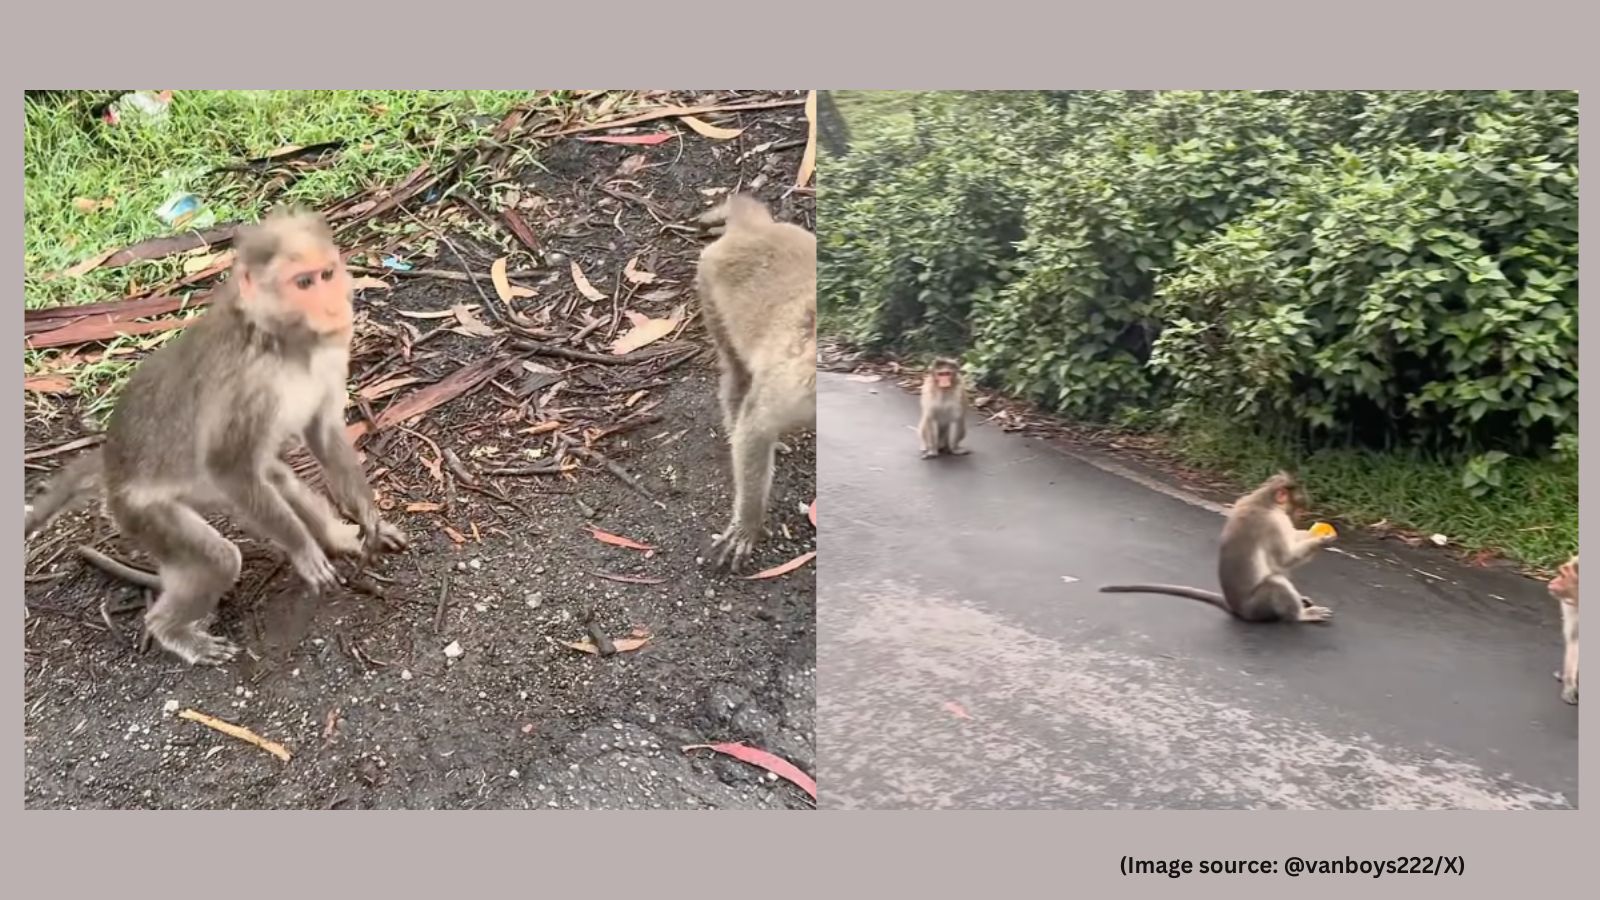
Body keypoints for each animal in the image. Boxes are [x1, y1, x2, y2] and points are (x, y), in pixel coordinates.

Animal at [23, 207, 408, 665]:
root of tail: (112, 468)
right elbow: (227, 466)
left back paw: (336, 538)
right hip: (145, 513)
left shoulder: (331, 353)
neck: (282, 342)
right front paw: (303, 551)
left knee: (274, 479)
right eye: (303, 283)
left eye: (327, 274)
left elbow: (323, 432)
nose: (333, 305)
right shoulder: (244, 384)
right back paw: (171, 631)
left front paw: (367, 516)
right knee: (220, 558)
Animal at [693, 194, 816, 573]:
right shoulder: (792, 383)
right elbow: (756, 426)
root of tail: (755, 230)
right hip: (709, 286)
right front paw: (747, 526)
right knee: (738, 376)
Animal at [1098, 471, 1336, 623]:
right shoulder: (1272, 523)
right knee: (1275, 582)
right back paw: (1300, 615)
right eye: (1298, 508)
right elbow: (1284, 559)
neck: (1265, 500)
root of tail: (1237, 608)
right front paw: (1321, 541)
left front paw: (1313, 533)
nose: (1298, 516)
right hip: (1258, 606)